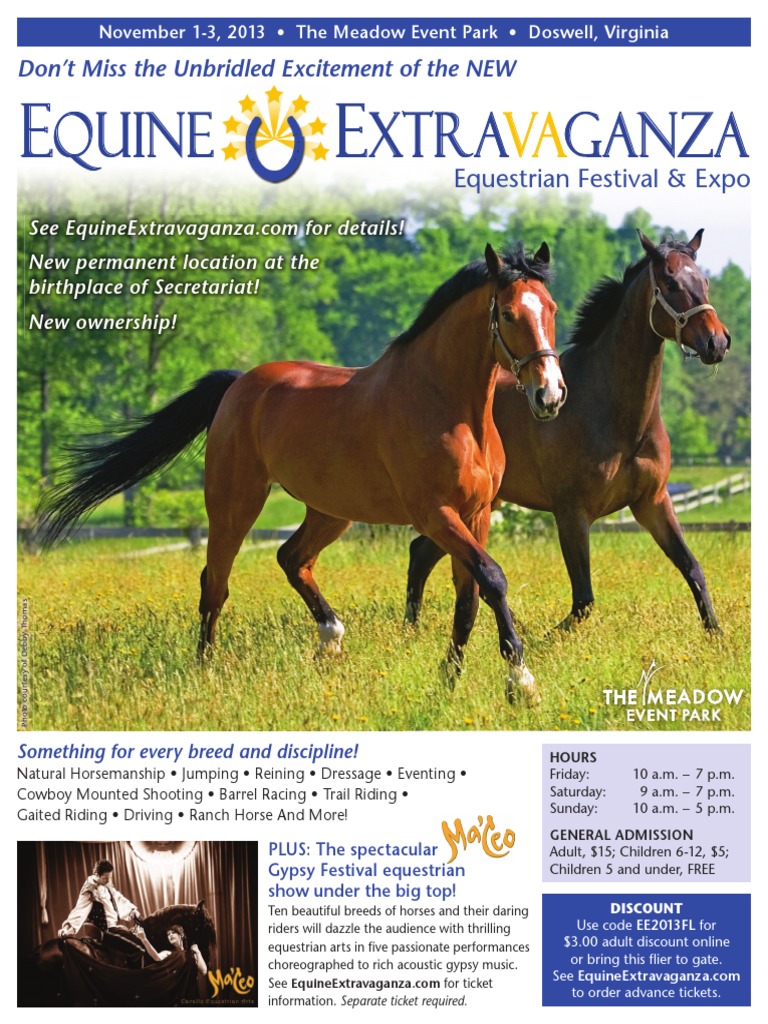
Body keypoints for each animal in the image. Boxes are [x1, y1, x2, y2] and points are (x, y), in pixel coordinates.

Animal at [36, 243, 566, 703]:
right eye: (508, 314)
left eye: (552, 309)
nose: (550, 395)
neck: (447, 405)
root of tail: (238, 386)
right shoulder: (435, 514)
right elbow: (492, 579)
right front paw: (522, 683)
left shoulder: (476, 513)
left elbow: (469, 597)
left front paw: (449, 680)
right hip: (235, 505)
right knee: (215, 582)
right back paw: (206, 670)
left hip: (330, 511)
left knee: (292, 559)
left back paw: (331, 639)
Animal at [405, 229, 732, 636]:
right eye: (670, 283)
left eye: (703, 281)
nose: (716, 342)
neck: (613, 413)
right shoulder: (572, 513)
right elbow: (583, 600)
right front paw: (541, 639)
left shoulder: (652, 502)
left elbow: (692, 568)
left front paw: (716, 634)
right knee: (423, 553)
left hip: (478, 506)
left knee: (421, 552)